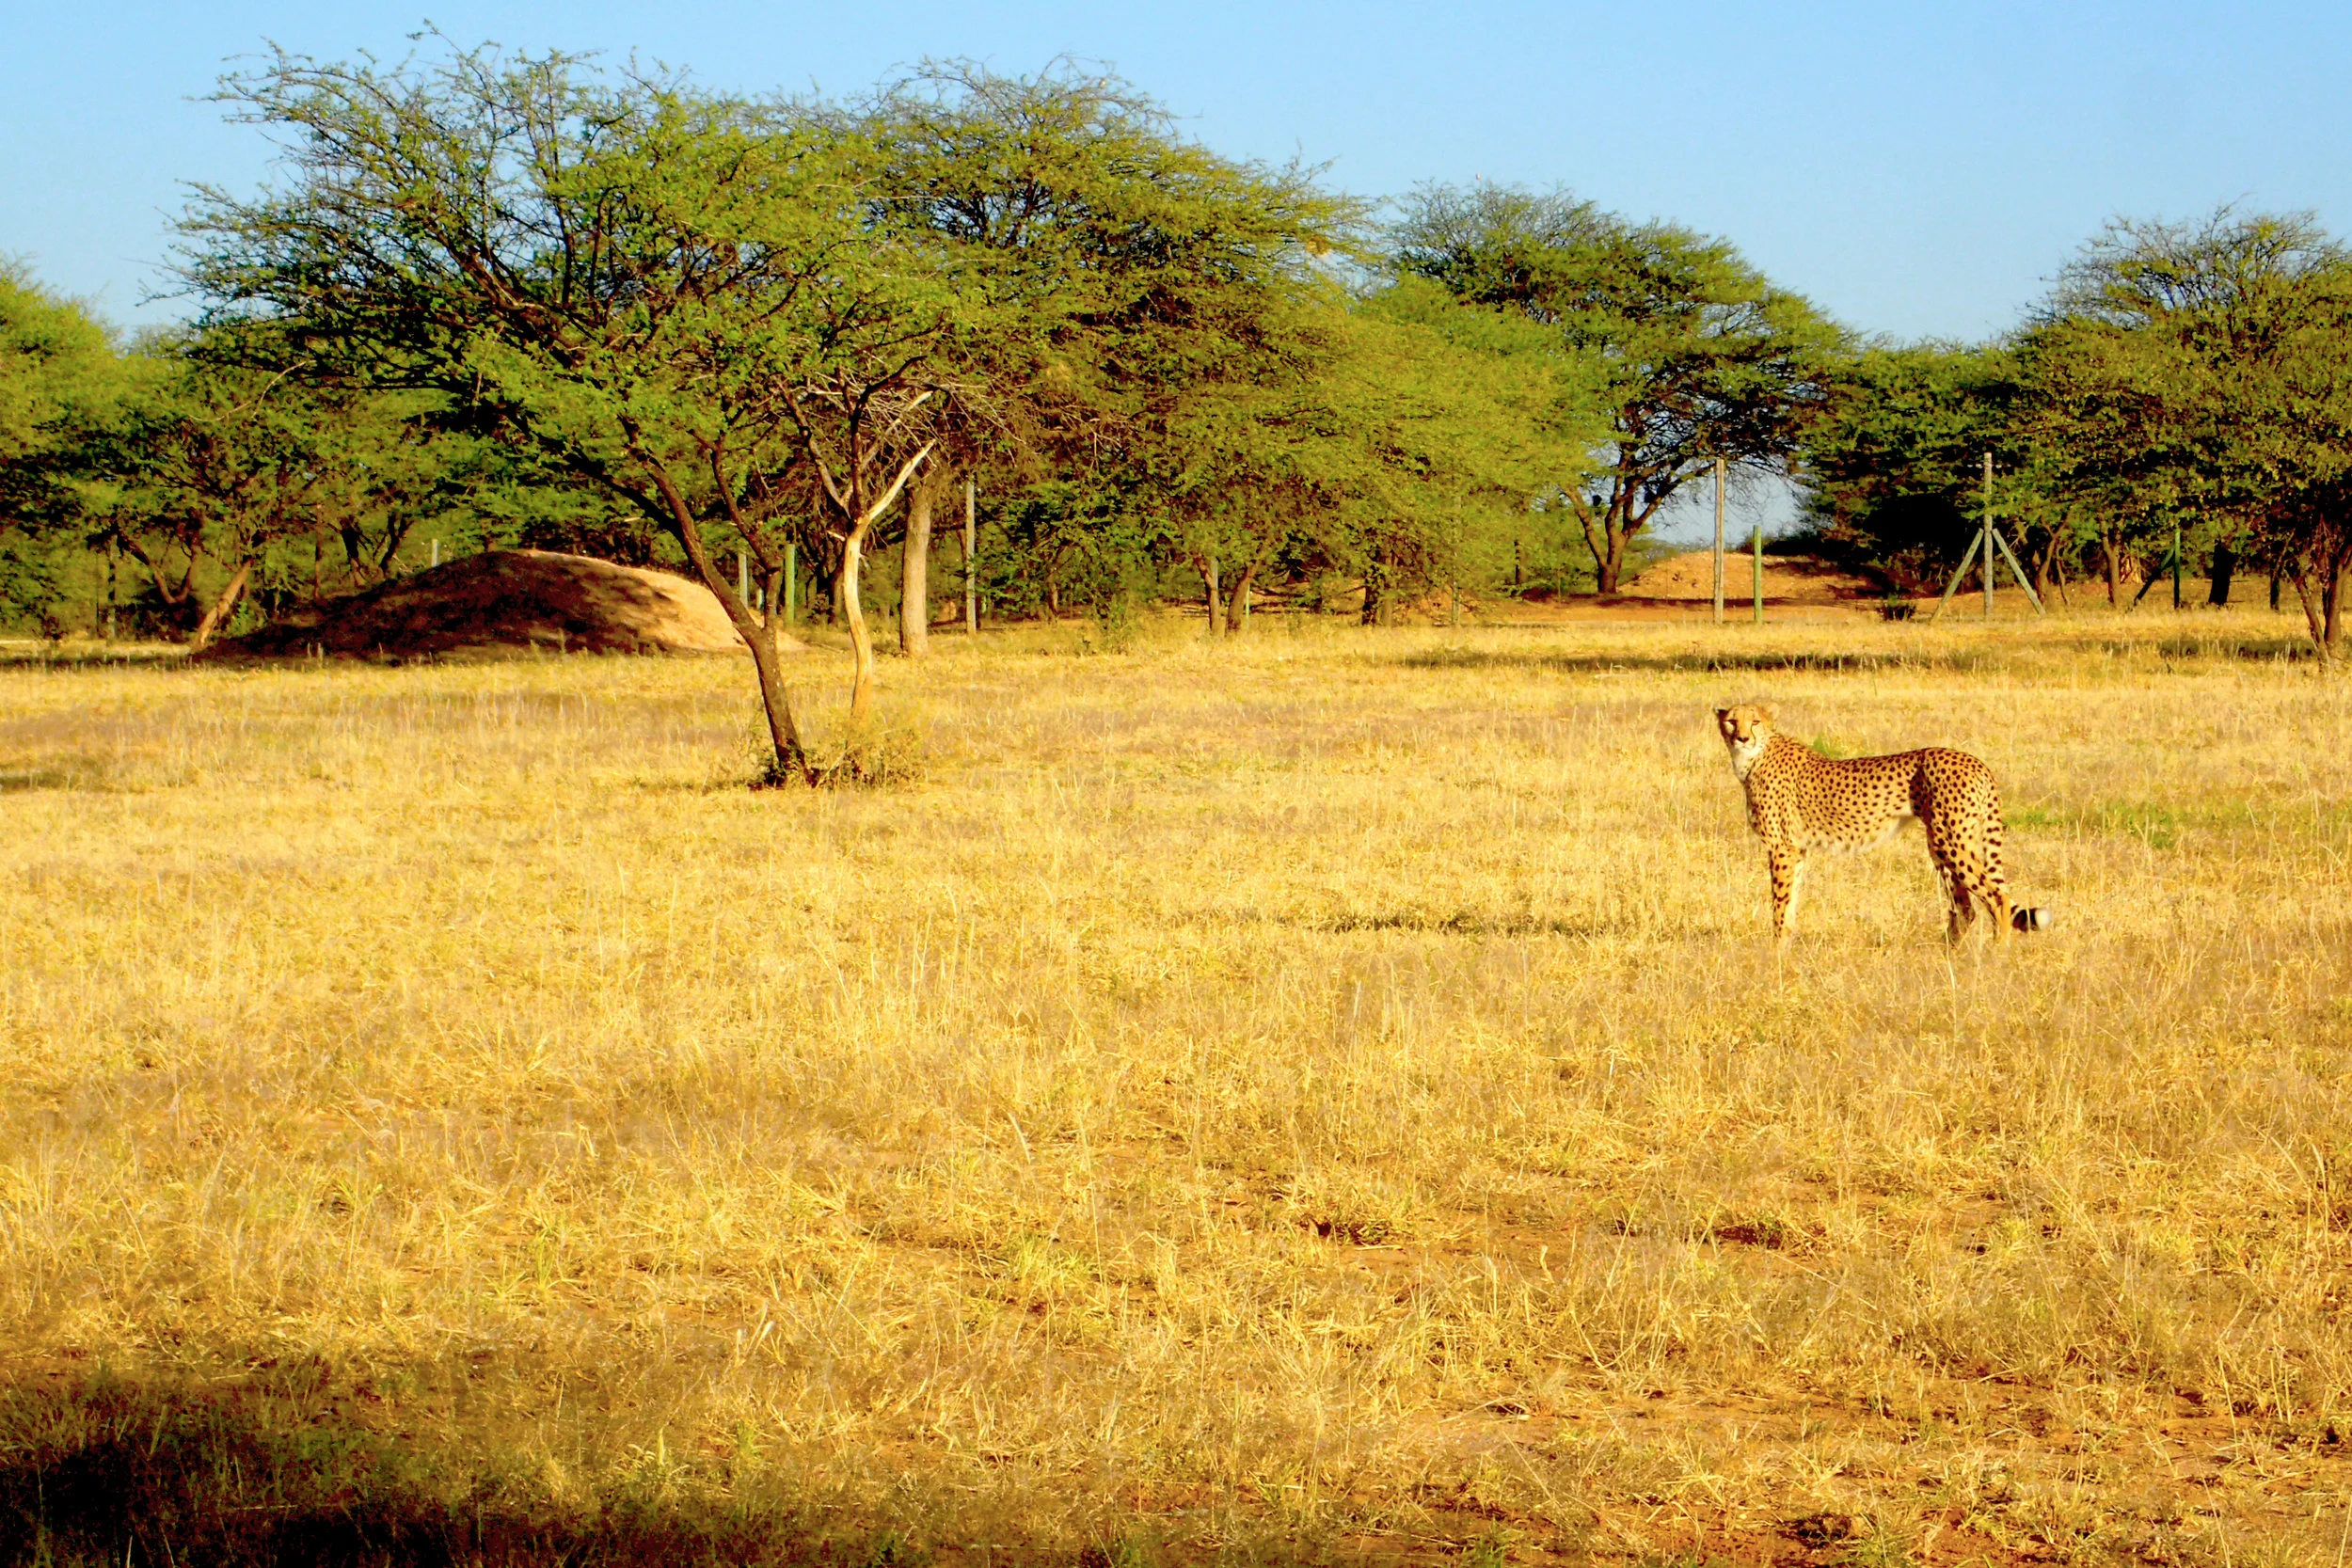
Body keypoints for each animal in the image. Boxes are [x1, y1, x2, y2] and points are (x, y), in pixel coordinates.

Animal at [1713, 703, 2051, 948]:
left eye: (1755, 721)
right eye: (1731, 721)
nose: (1742, 738)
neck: (1755, 756)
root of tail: (1973, 760)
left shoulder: (1781, 848)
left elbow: (1780, 904)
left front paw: (1776, 954)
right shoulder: (1797, 850)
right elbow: (1791, 900)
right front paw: (1786, 947)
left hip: (1951, 840)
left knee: (1997, 897)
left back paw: (1997, 952)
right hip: (1940, 844)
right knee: (1965, 907)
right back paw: (1947, 953)